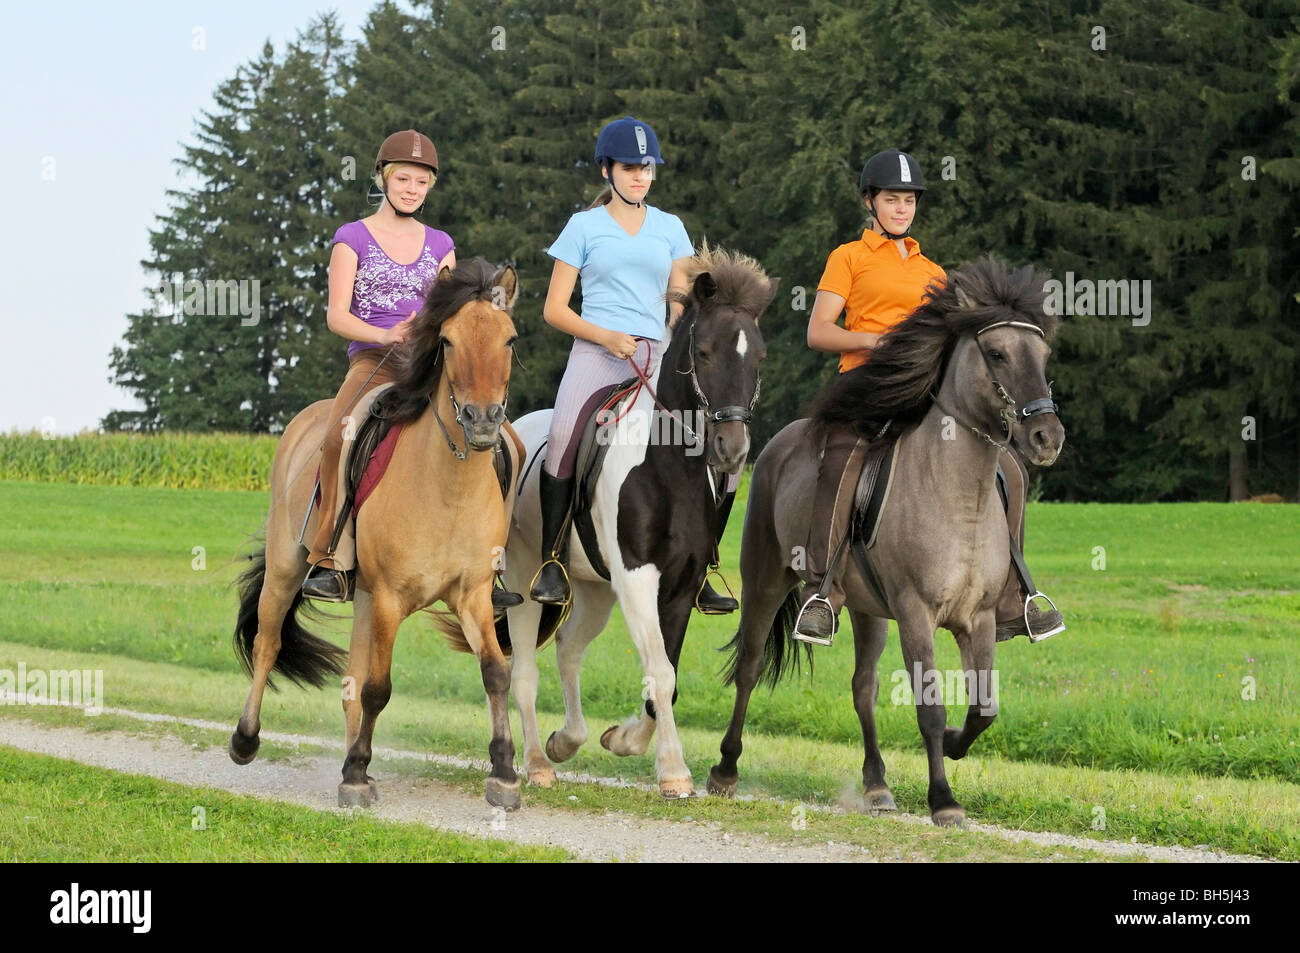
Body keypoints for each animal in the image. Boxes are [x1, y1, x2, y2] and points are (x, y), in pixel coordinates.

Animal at [228, 258, 527, 810]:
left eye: (510, 339)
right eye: (447, 341)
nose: (482, 420)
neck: (450, 485)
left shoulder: (472, 594)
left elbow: (495, 673)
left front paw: (503, 774)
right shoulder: (390, 596)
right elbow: (378, 689)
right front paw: (355, 776)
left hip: (363, 595)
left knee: (349, 677)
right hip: (289, 569)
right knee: (268, 643)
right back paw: (246, 739)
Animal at [497, 246, 778, 798]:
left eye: (757, 357)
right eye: (704, 352)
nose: (732, 451)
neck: (668, 467)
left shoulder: (680, 585)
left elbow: (665, 676)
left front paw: (624, 739)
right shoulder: (636, 577)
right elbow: (660, 672)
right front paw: (672, 770)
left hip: (593, 590)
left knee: (568, 649)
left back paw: (567, 741)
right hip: (525, 580)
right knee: (523, 671)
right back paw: (538, 761)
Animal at [707, 257, 1065, 826]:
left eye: (1043, 353)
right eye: (996, 353)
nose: (1047, 437)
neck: (957, 496)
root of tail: (779, 443)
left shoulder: (980, 617)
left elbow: (983, 707)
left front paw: (958, 746)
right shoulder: (917, 612)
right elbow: (931, 708)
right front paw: (944, 800)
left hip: (864, 607)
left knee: (863, 687)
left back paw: (876, 786)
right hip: (765, 580)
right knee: (749, 667)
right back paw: (725, 770)